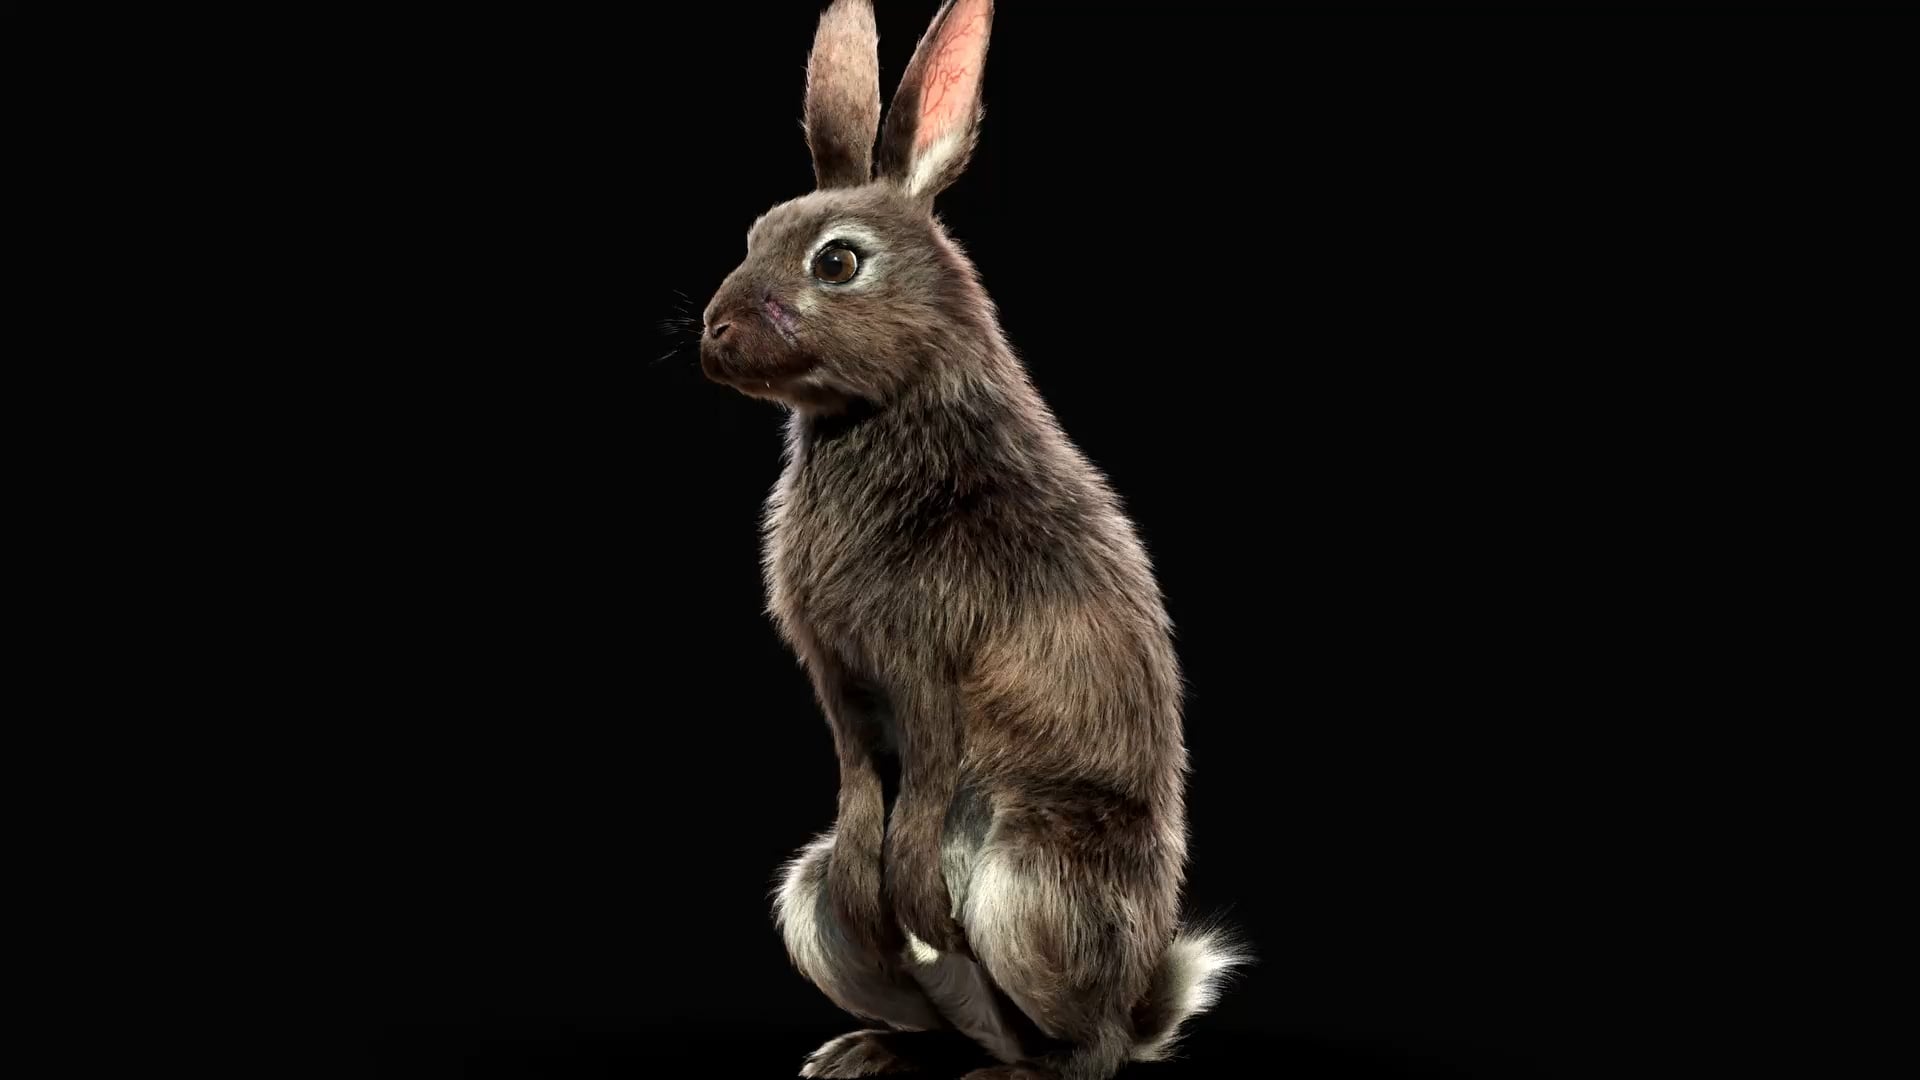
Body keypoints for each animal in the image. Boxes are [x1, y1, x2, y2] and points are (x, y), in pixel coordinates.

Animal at [696, 2, 1248, 1077]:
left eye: (836, 261)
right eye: (752, 234)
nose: (716, 333)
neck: (877, 413)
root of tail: (1140, 1005)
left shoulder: (930, 661)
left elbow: (928, 770)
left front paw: (908, 891)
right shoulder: (843, 684)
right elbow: (859, 779)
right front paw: (873, 896)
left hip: (1026, 881)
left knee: (1079, 1050)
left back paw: (1003, 1059)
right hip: (813, 908)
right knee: (942, 1006)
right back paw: (864, 1048)